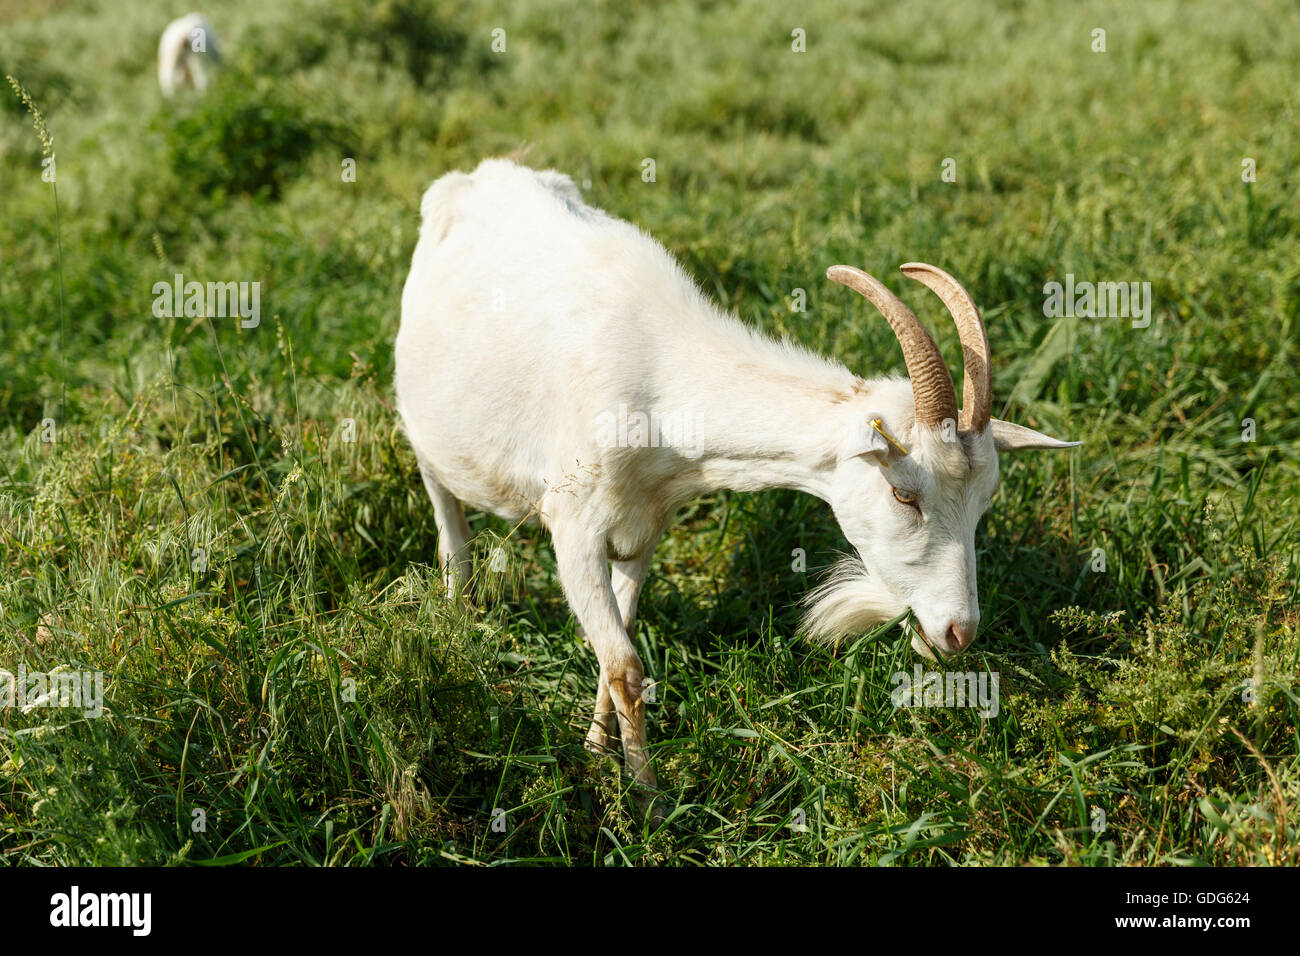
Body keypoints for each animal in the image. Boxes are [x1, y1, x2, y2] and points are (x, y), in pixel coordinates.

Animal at [394, 158, 1079, 802]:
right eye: (904, 494)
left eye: (984, 506)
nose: (958, 634)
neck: (659, 383)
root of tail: (479, 175)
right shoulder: (574, 525)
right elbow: (625, 668)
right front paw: (648, 801)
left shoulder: (643, 526)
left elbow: (616, 645)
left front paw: (595, 751)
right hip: (427, 436)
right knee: (449, 531)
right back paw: (455, 624)